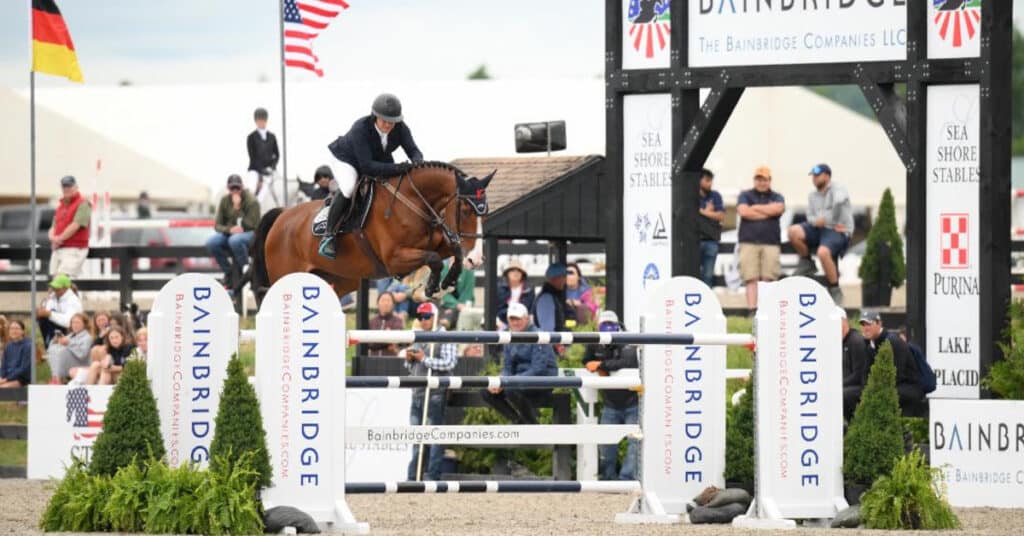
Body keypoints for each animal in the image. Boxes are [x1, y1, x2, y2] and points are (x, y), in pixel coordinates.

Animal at [249, 161, 494, 304]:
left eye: (486, 213)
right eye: (465, 210)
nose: (476, 259)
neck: (414, 203)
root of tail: (282, 215)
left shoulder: (436, 244)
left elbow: (455, 251)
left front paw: (448, 282)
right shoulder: (395, 259)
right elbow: (434, 259)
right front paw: (431, 287)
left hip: (338, 280)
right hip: (286, 274)